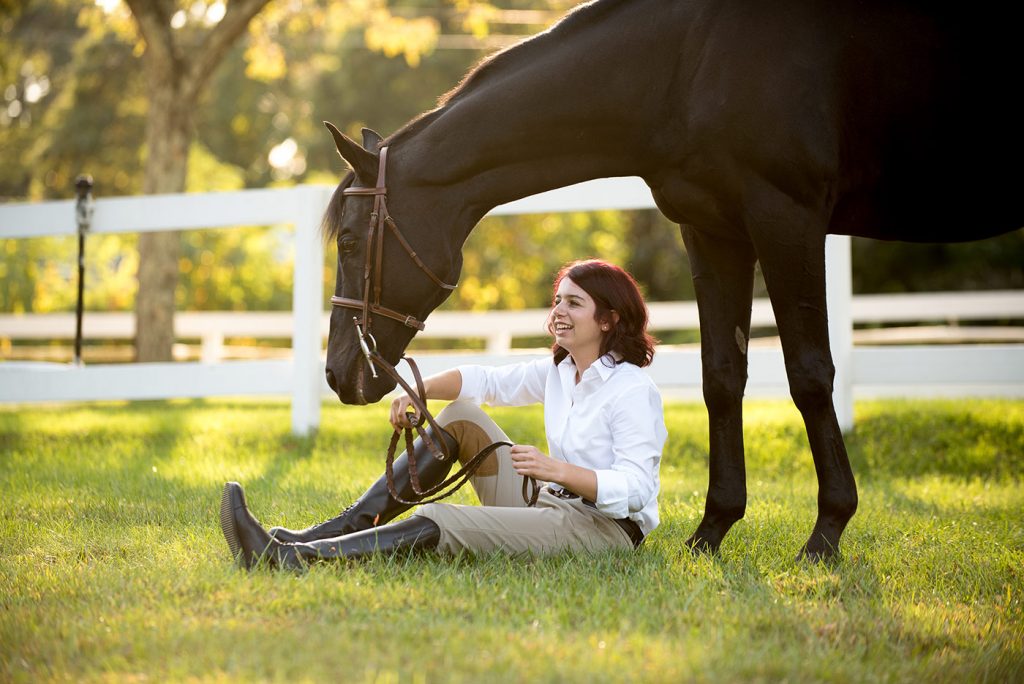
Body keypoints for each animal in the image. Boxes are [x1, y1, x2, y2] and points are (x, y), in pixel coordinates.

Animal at [319, 0, 1022, 560]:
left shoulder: (787, 217)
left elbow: (809, 373)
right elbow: (722, 377)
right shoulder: (713, 230)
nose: (339, 372)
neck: (687, 63)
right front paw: (713, 530)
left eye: (350, 241)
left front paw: (826, 534)